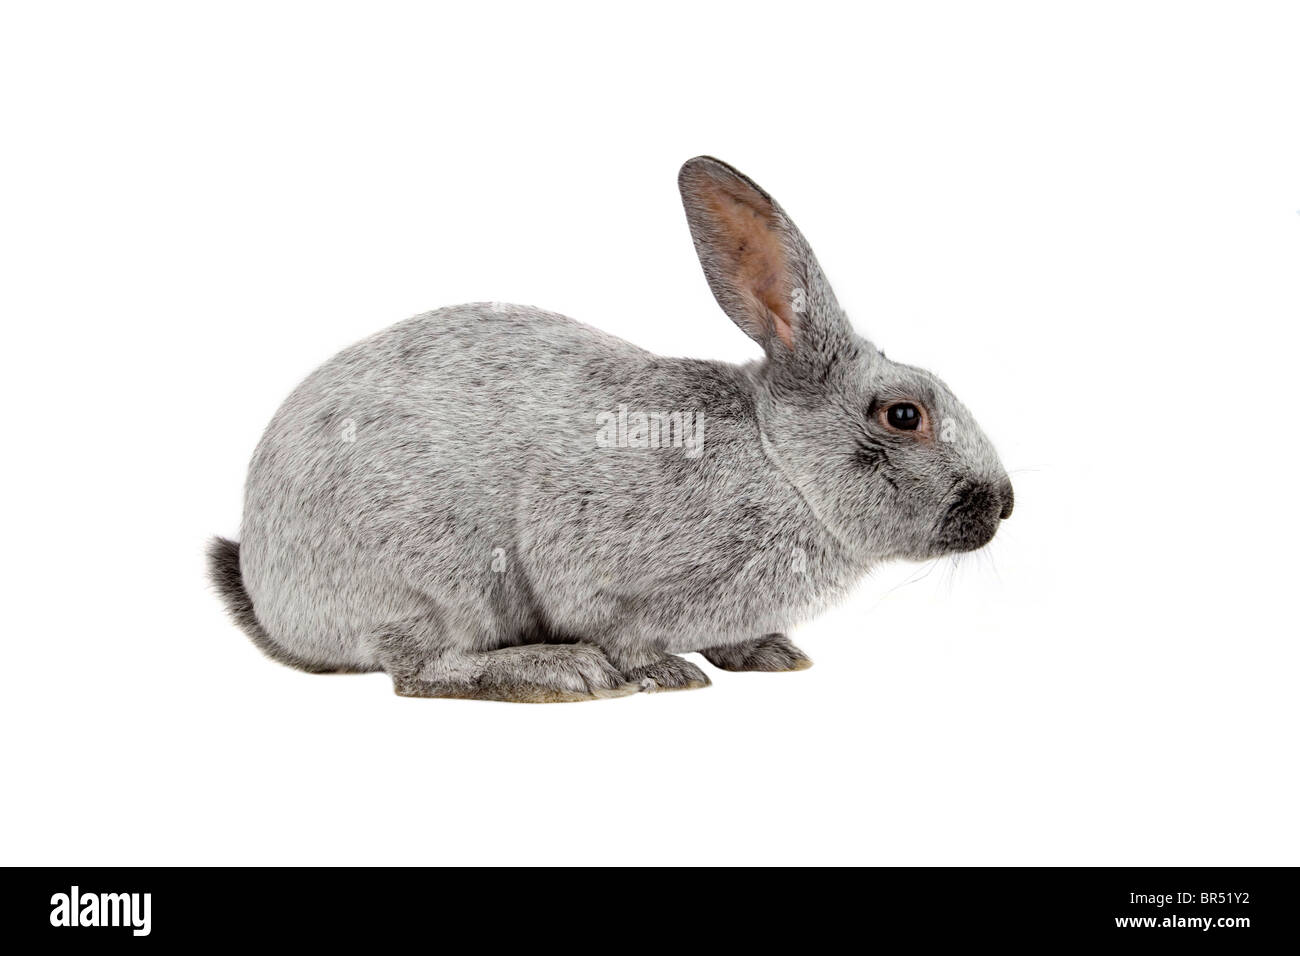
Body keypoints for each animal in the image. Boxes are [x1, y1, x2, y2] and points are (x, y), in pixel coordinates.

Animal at [208, 156, 1013, 702]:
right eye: (903, 414)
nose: (1003, 504)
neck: (780, 461)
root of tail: (271, 598)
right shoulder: (586, 554)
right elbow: (615, 627)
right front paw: (660, 670)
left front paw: (766, 653)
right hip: (437, 581)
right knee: (422, 669)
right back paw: (556, 670)